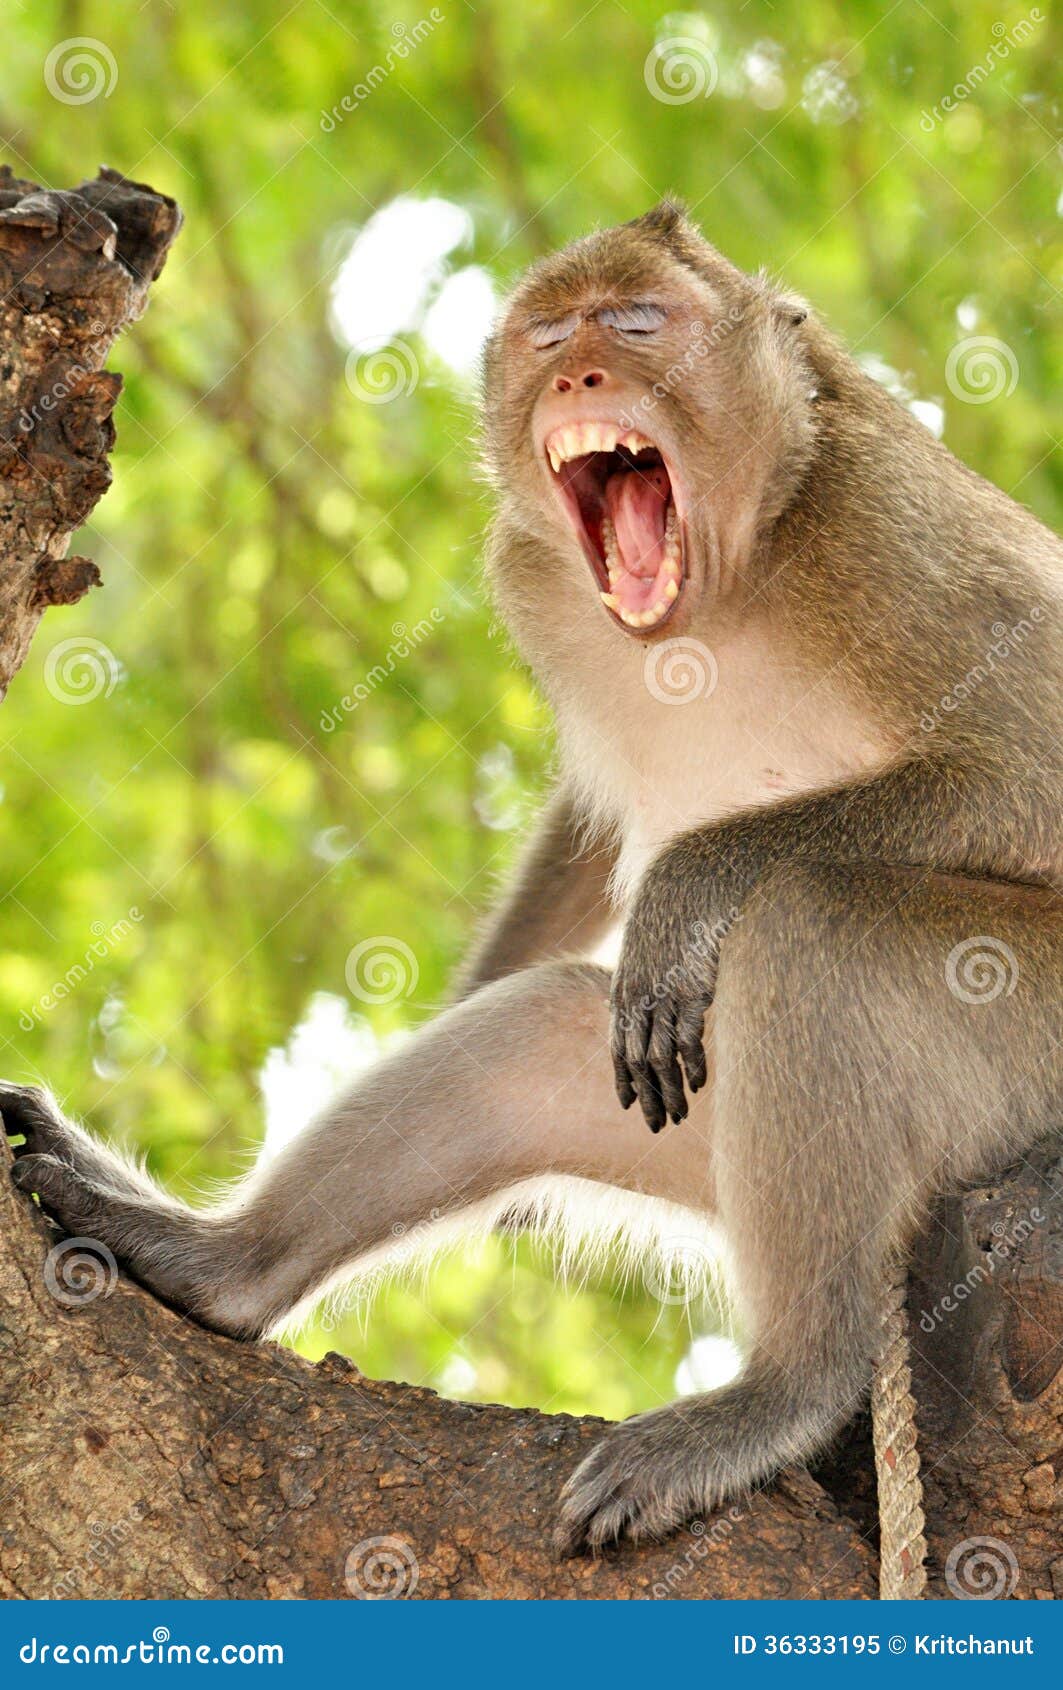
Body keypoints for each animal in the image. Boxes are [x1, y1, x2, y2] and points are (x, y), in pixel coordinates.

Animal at [4, 200, 1061, 1554]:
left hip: (1025, 1049)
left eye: (639, 322)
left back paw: (787, 1386)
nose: (579, 376)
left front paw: (689, 884)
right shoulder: (534, 579)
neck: (732, 575)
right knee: (554, 1031)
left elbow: (1028, 768)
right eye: (550, 336)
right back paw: (218, 1265)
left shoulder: (895, 542)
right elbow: (586, 835)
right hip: (704, 1127)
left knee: (812, 929)